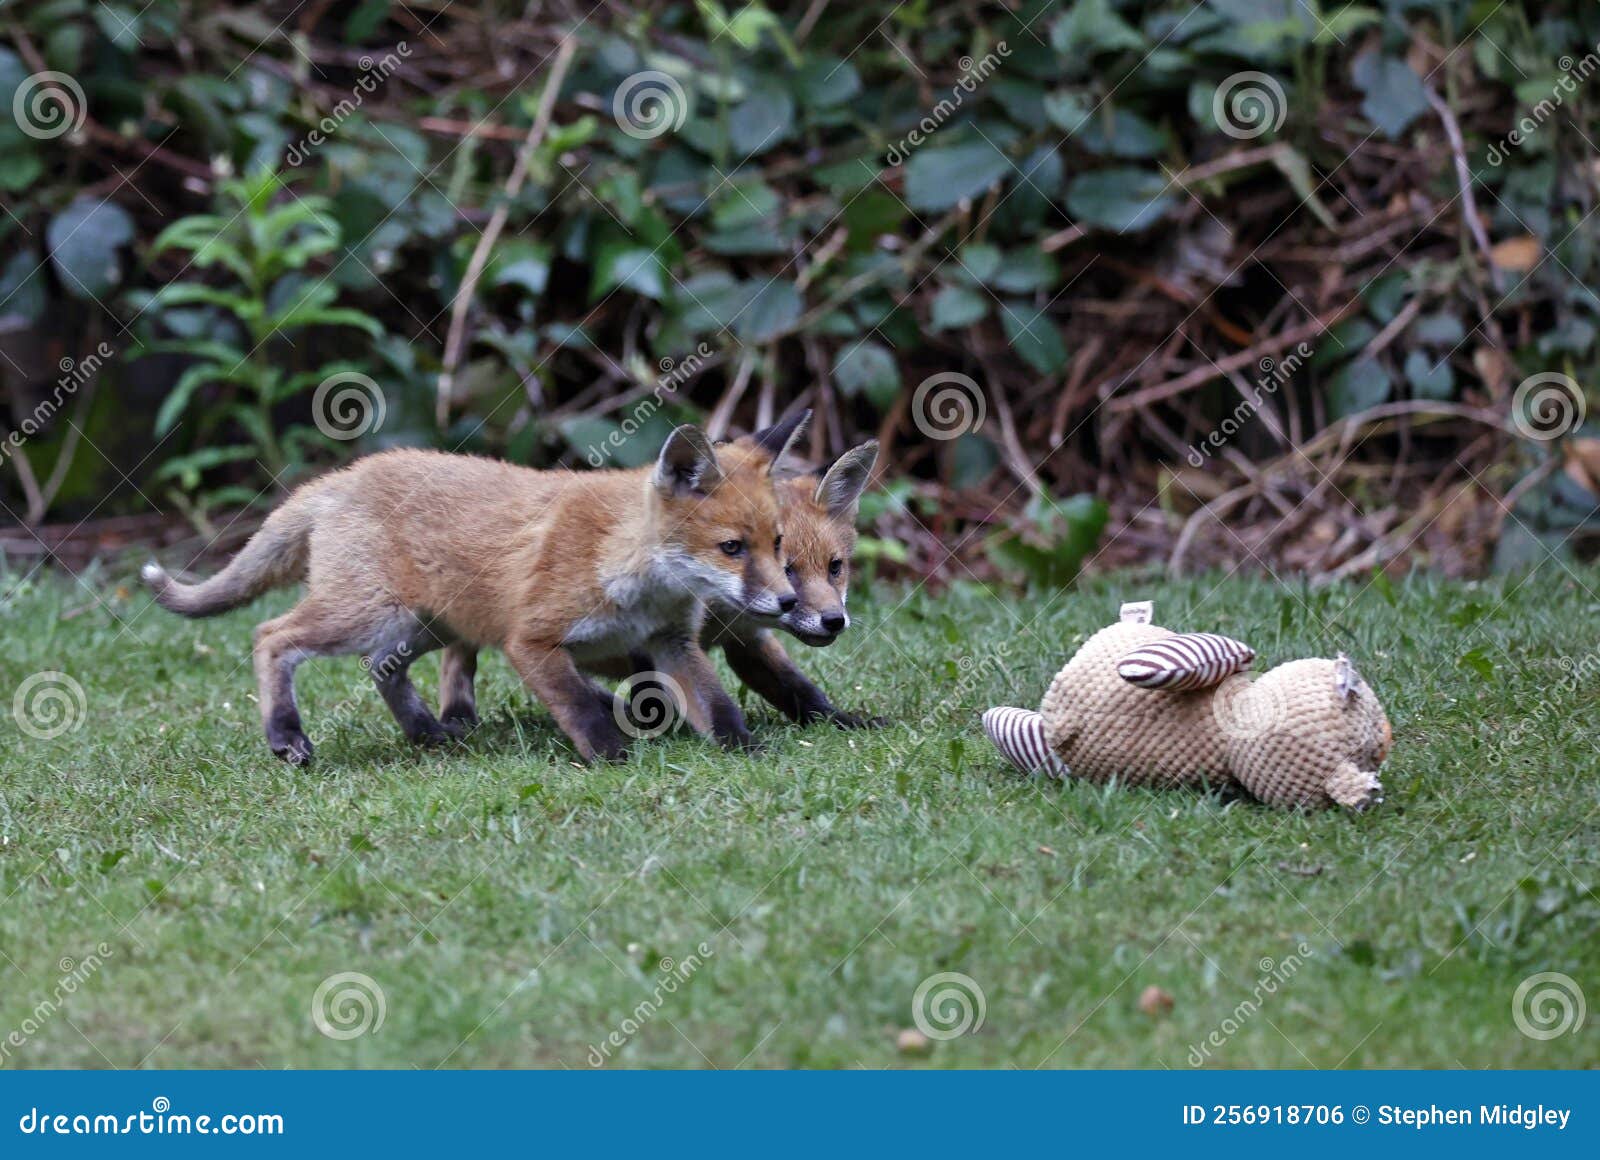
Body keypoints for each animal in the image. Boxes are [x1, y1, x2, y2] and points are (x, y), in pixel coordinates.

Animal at [140, 419, 805, 764]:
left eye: (778, 545)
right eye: (732, 548)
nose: (790, 605)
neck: (627, 565)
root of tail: (339, 478)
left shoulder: (670, 642)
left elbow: (715, 703)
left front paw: (747, 748)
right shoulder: (530, 638)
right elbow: (579, 705)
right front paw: (609, 757)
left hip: (424, 625)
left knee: (380, 668)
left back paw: (425, 732)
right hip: (369, 614)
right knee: (270, 635)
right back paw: (284, 733)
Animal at [436, 426, 881, 731]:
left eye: (835, 567)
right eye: (787, 567)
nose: (834, 621)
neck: (717, 618)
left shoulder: (747, 642)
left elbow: (798, 690)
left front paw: (842, 720)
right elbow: (651, 685)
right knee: (460, 654)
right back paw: (459, 716)